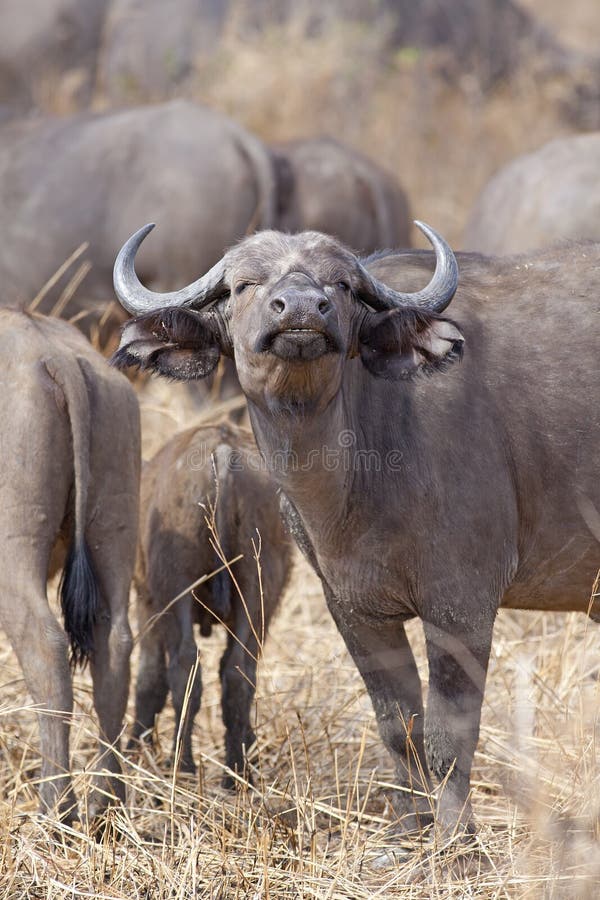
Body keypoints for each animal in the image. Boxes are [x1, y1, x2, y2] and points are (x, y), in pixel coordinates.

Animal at [0, 309, 140, 822]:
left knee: (46, 646)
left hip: (14, 552)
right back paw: (105, 803)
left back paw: (56, 808)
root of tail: (53, 354)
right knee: (115, 644)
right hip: (113, 530)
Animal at [130, 422, 292, 783]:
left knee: (184, 668)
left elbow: (149, 679)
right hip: (255, 591)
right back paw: (236, 771)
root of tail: (222, 449)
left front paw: (134, 746)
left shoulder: (148, 606)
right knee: (237, 672)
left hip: (175, 594)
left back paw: (183, 764)